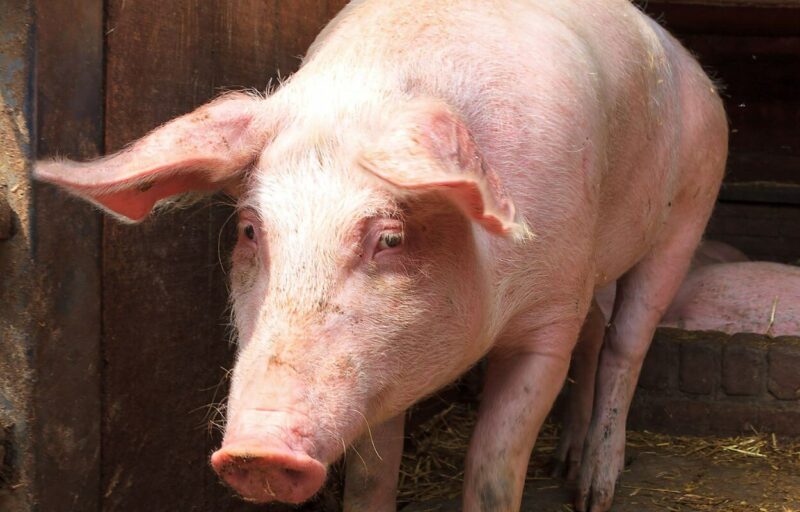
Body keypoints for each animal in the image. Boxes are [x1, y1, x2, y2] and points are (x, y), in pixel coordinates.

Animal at [34, 1, 727, 511]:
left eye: (390, 238)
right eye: (252, 230)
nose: (255, 450)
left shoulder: (550, 315)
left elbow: (492, 465)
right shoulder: (378, 378)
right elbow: (371, 478)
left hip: (690, 209)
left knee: (626, 344)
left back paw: (591, 491)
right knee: (599, 329)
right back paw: (566, 462)